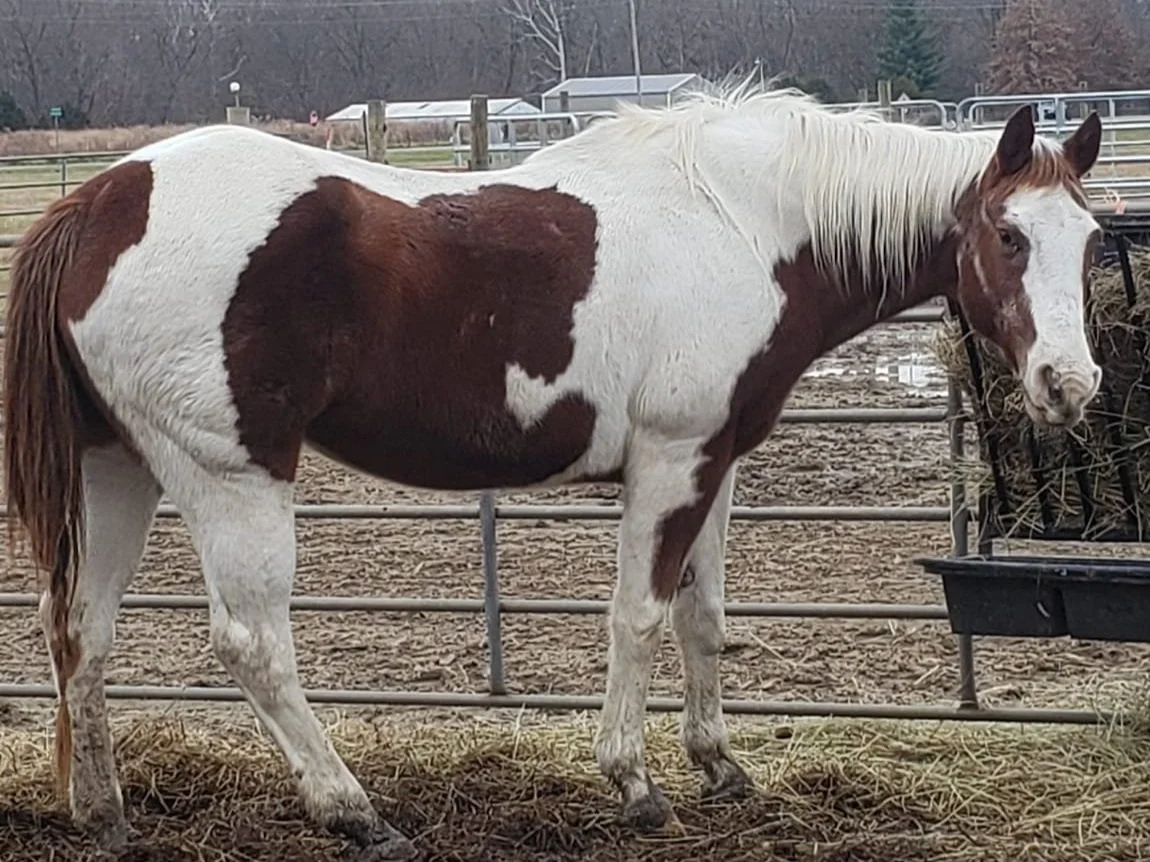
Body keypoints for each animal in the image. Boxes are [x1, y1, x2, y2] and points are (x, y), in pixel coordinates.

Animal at [4, 85, 1103, 860]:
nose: (1071, 382)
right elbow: (639, 618)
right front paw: (635, 783)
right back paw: (353, 812)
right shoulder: (669, 461)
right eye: (1009, 236)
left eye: (1091, 240)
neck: (743, 225)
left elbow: (703, 619)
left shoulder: (715, 462)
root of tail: (100, 201)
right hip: (229, 475)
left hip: (119, 467)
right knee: (252, 645)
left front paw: (719, 765)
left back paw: (104, 813)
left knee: (79, 629)